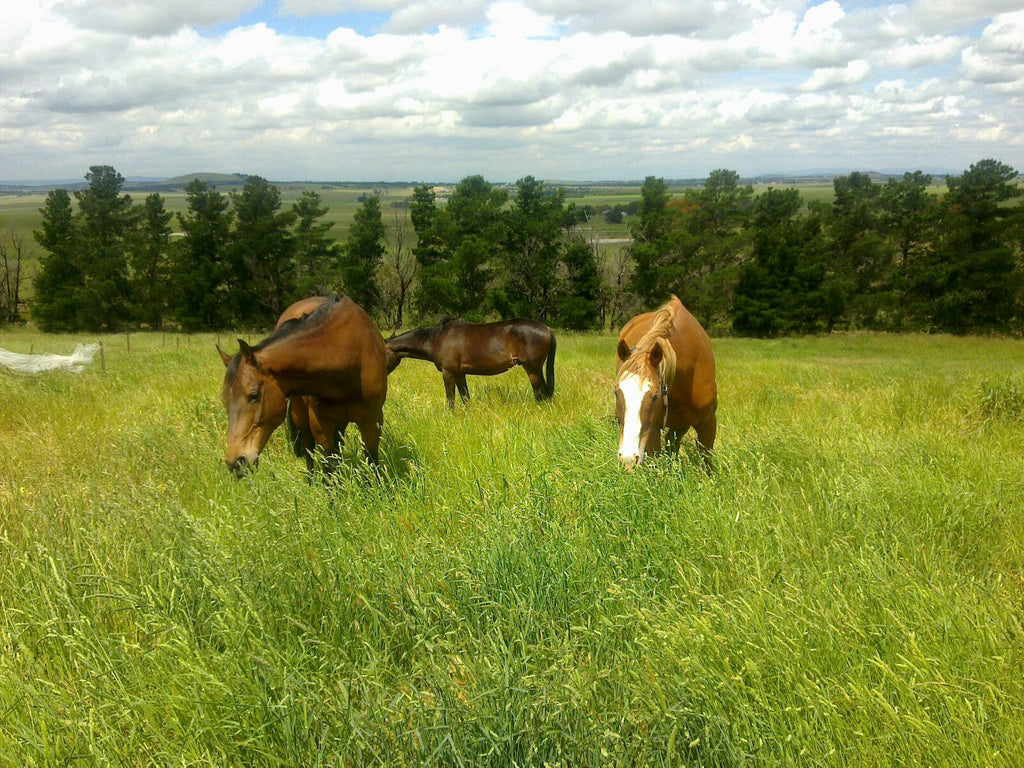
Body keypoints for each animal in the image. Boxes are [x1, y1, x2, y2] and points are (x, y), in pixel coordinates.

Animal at [217, 295, 388, 476]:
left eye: (253, 395)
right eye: (224, 401)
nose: (235, 462)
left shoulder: (373, 419)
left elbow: (371, 460)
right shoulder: (320, 423)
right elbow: (328, 463)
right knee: (309, 450)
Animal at [385, 318, 556, 407]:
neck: (437, 338)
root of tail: (548, 329)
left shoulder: (448, 373)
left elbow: (451, 400)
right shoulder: (459, 374)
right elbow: (465, 398)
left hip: (532, 369)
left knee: (540, 394)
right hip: (537, 370)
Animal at [615, 296, 717, 471]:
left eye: (655, 396)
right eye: (617, 392)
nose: (628, 458)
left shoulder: (708, 424)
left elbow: (706, 461)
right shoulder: (653, 430)